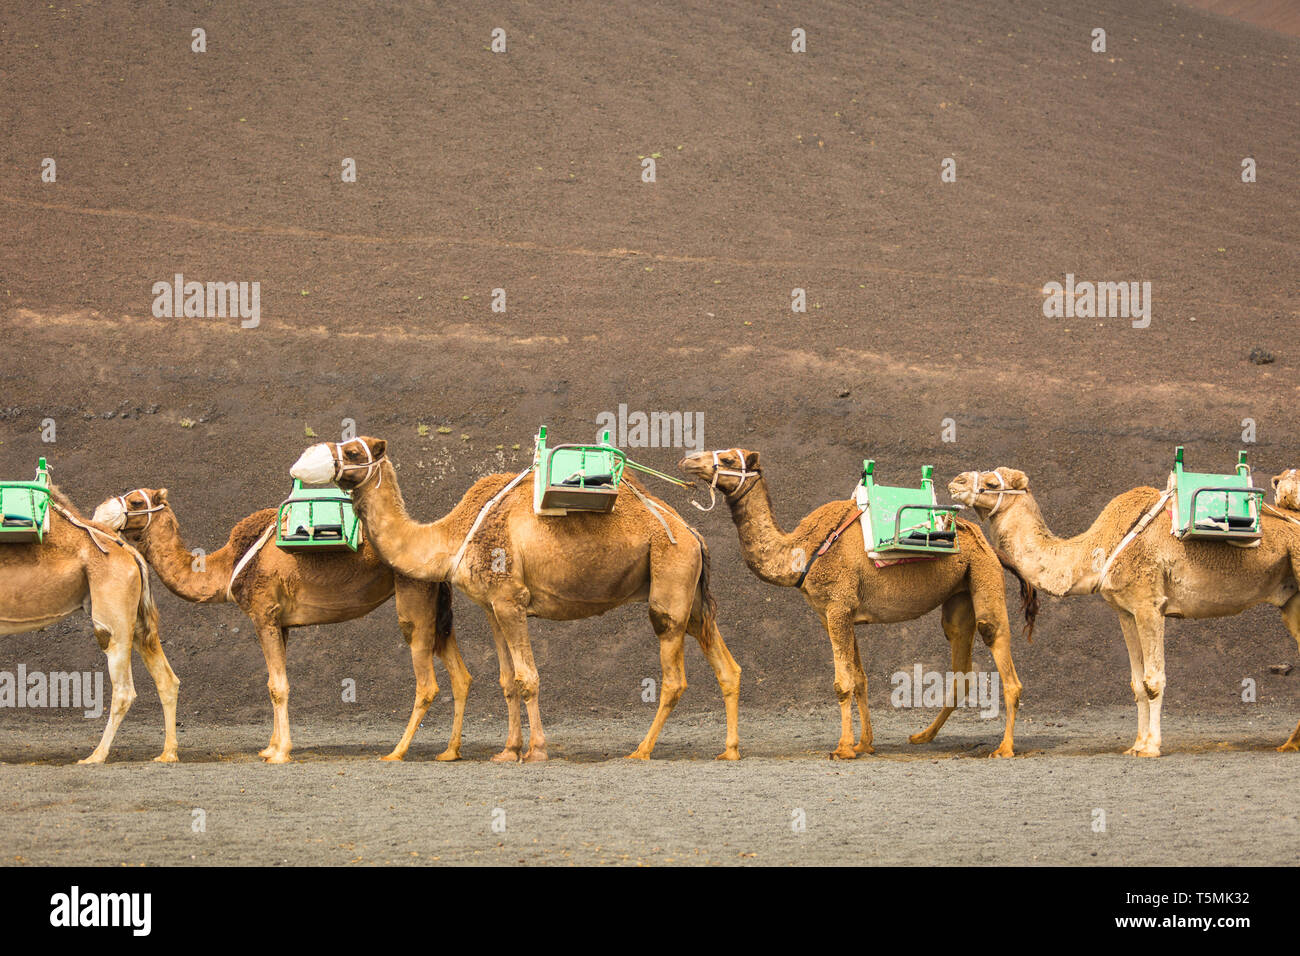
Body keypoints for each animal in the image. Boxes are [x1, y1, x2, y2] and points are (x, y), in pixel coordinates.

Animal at [0, 482, 178, 763]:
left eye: (137, 502)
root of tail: (127, 551)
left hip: (112, 616)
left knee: (124, 689)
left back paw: (95, 756)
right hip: (136, 621)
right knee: (167, 679)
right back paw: (168, 753)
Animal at [92, 487, 467, 764]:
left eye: (136, 501)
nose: (98, 513)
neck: (227, 565)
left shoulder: (264, 614)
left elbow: (278, 686)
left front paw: (280, 753)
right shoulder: (282, 623)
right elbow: (275, 682)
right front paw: (270, 747)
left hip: (413, 596)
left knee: (427, 682)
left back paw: (396, 752)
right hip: (438, 610)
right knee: (461, 676)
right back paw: (449, 752)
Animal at [289, 436, 741, 762]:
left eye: (351, 451)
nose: (300, 464)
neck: (453, 535)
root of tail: (692, 533)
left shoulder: (511, 598)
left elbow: (529, 677)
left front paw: (537, 751)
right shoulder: (493, 606)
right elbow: (507, 680)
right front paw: (507, 751)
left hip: (669, 584)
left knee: (674, 677)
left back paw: (641, 751)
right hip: (690, 597)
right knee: (727, 666)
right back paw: (729, 751)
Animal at [678, 449, 1035, 759]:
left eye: (727, 459)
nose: (687, 460)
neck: (801, 551)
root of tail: (988, 543)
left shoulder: (838, 605)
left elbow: (842, 683)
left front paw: (844, 748)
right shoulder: (836, 614)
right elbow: (860, 679)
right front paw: (865, 744)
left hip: (984, 575)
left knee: (1000, 651)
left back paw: (1004, 748)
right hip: (960, 597)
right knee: (961, 666)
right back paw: (922, 736)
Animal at [949, 467, 1300, 756]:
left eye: (993, 483)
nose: (956, 481)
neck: (1097, 551)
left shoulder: (1150, 604)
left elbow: (1153, 680)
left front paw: (1152, 747)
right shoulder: (1126, 612)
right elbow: (1136, 684)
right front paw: (1137, 744)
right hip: (1290, 599)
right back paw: (1289, 743)